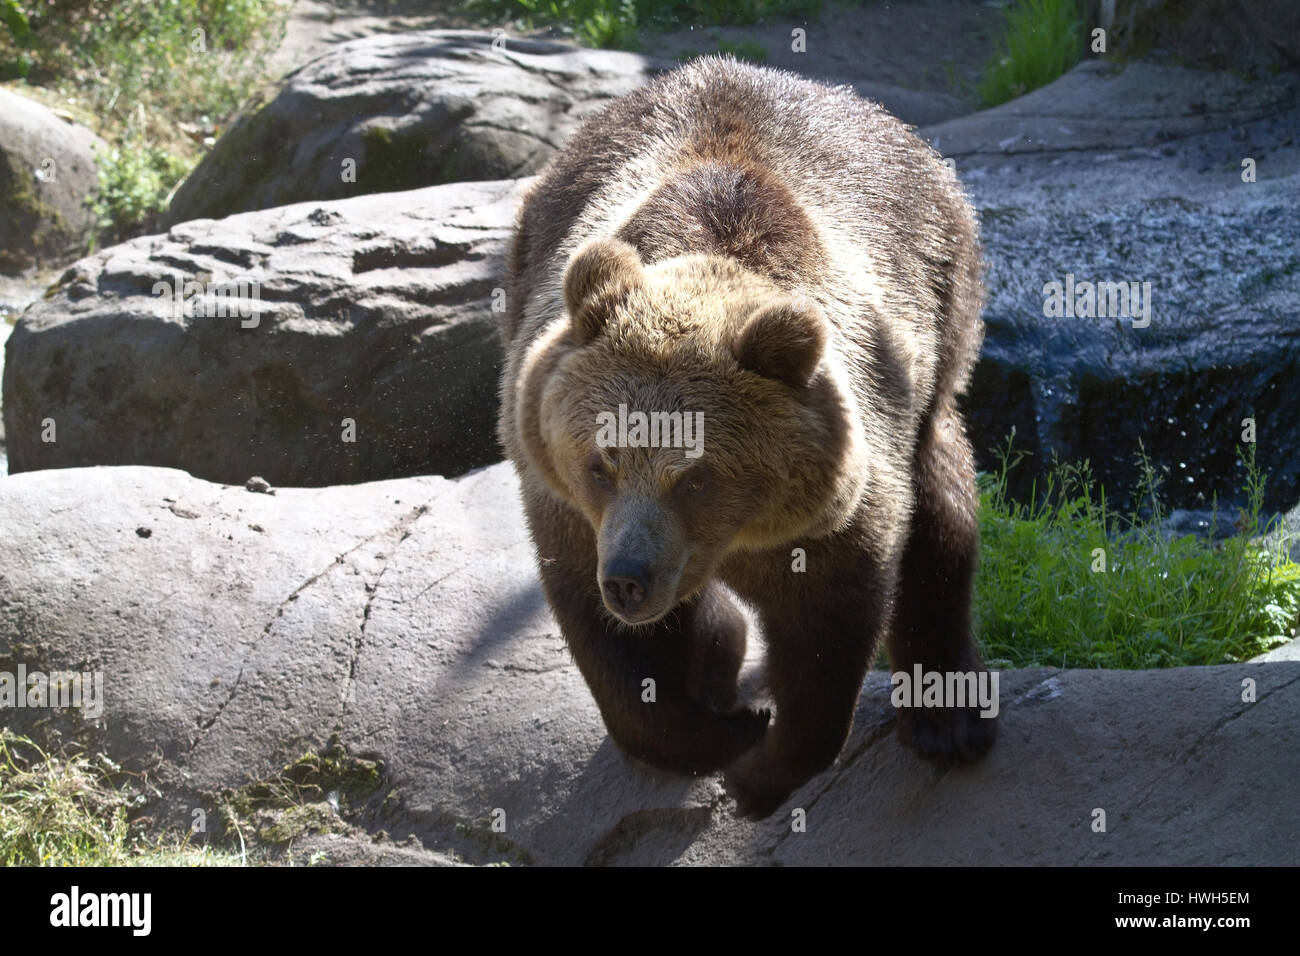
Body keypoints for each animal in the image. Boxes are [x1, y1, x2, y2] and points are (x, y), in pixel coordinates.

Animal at [499, 56, 995, 819]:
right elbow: (601, 630)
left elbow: (826, 635)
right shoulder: (567, 502)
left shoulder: (840, 505)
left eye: (698, 475)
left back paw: (949, 718)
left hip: (942, 304)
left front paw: (758, 766)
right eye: (600, 464)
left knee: (941, 503)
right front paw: (718, 727)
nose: (630, 580)